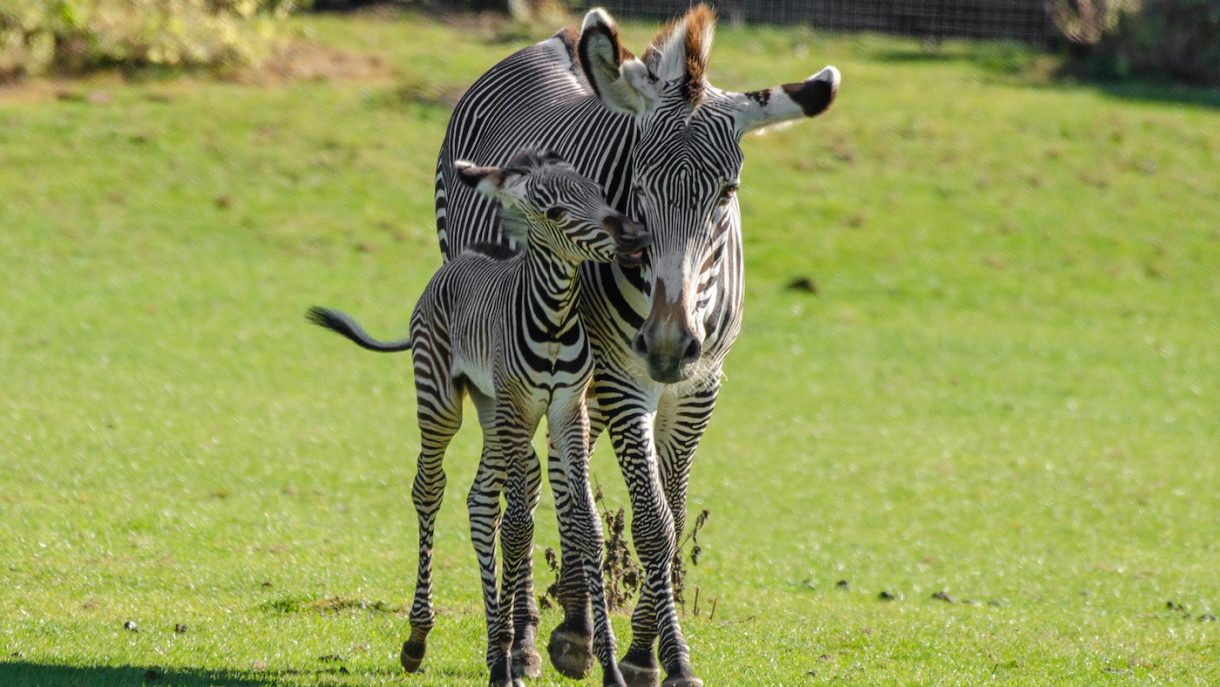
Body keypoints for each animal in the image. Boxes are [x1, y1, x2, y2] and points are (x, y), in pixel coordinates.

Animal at [307, 149, 650, 687]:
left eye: (599, 192)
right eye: (555, 213)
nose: (635, 238)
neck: (555, 320)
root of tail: (460, 261)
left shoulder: (568, 409)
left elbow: (586, 525)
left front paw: (608, 666)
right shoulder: (516, 404)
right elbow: (517, 530)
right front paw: (509, 658)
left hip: (490, 407)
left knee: (481, 501)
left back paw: (489, 646)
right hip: (445, 401)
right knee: (431, 489)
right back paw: (419, 639)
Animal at [432, 5, 839, 687]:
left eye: (728, 193)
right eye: (640, 189)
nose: (669, 345)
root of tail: (558, 39)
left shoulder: (701, 386)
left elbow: (671, 514)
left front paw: (641, 651)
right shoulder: (625, 379)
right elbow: (652, 524)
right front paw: (666, 660)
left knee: (565, 477)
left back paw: (573, 626)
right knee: (533, 483)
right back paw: (530, 638)